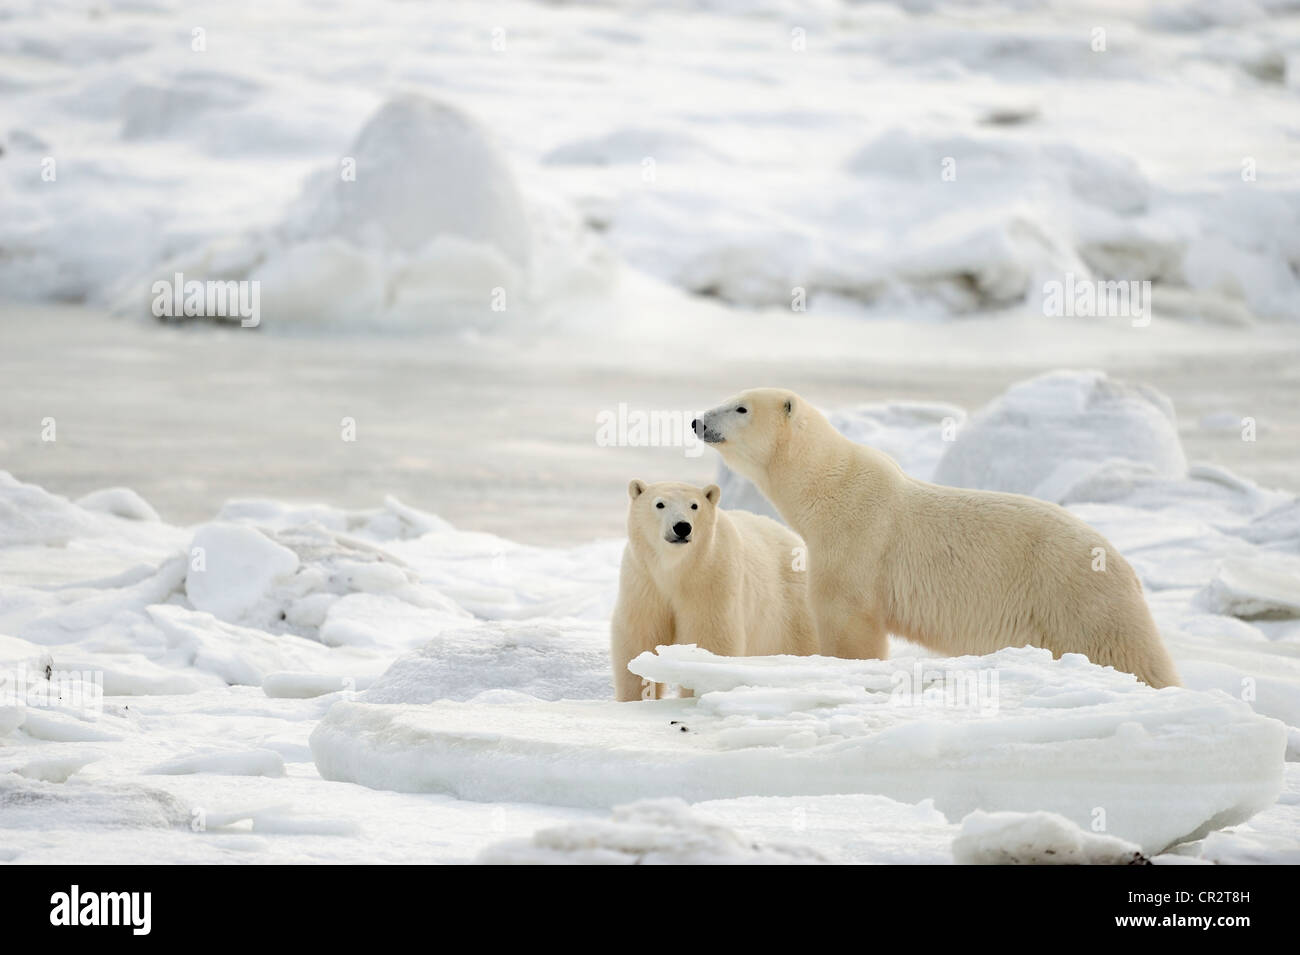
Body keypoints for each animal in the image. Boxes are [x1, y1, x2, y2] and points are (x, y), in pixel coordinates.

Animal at [610, 479, 818, 701]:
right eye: (660, 504)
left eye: (694, 505)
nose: (682, 527)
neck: (675, 571)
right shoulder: (644, 581)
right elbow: (640, 635)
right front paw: (636, 698)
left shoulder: (710, 579)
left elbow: (708, 635)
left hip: (789, 611)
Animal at [691, 389, 1181, 689]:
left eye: (740, 408)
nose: (697, 421)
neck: (830, 489)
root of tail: (1127, 568)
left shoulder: (858, 540)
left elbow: (849, 619)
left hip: (1078, 600)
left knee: (1127, 654)